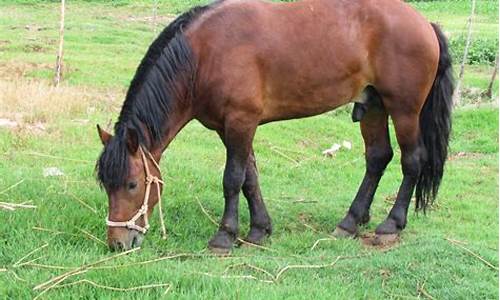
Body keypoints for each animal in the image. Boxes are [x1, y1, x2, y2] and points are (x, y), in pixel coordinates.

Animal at [96, 0, 454, 252]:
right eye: (106, 185)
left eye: (131, 184)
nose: (117, 243)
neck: (204, 54)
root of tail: (424, 23)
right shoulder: (231, 127)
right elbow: (249, 179)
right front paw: (259, 230)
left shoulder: (241, 121)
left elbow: (232, 179)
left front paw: (225, 236)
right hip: (374, 106)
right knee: (378, 158)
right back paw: (350, 222)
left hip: (403, 109)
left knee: (412, 161)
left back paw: (391, 225)